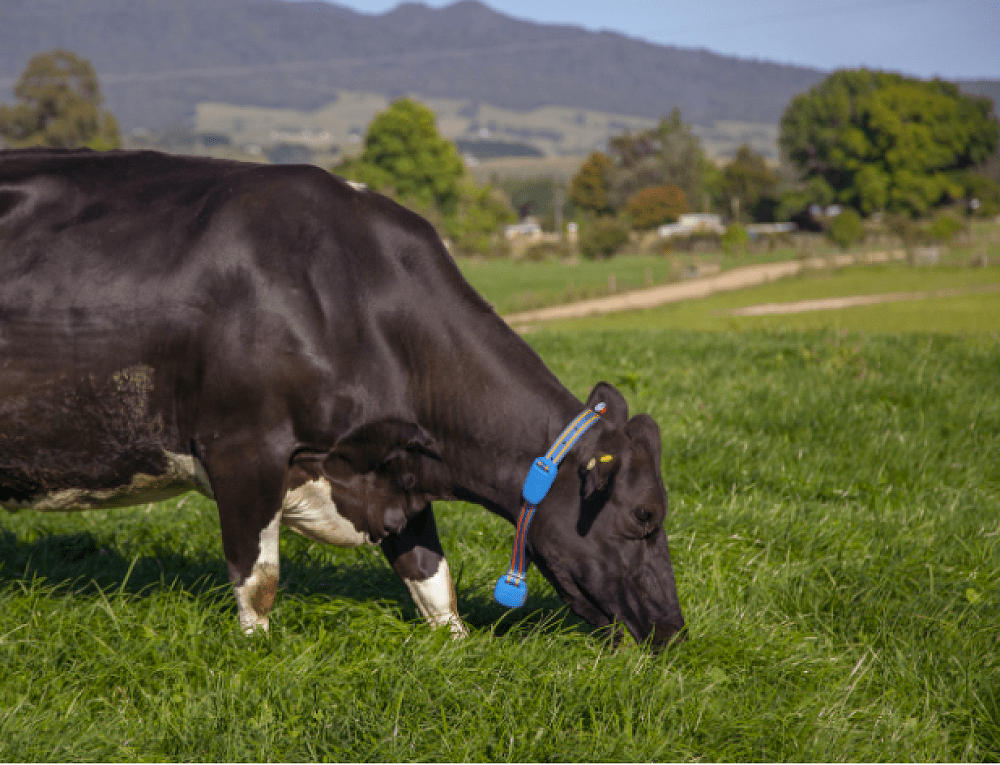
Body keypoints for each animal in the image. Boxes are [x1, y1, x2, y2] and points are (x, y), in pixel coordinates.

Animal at [0, 149, 684, 647]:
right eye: (645, 516)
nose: (674, 629)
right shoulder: (243, 448)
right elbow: (259, 580)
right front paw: (256, 654)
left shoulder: (401, 472)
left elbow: (434, 579)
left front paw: (460, 647)